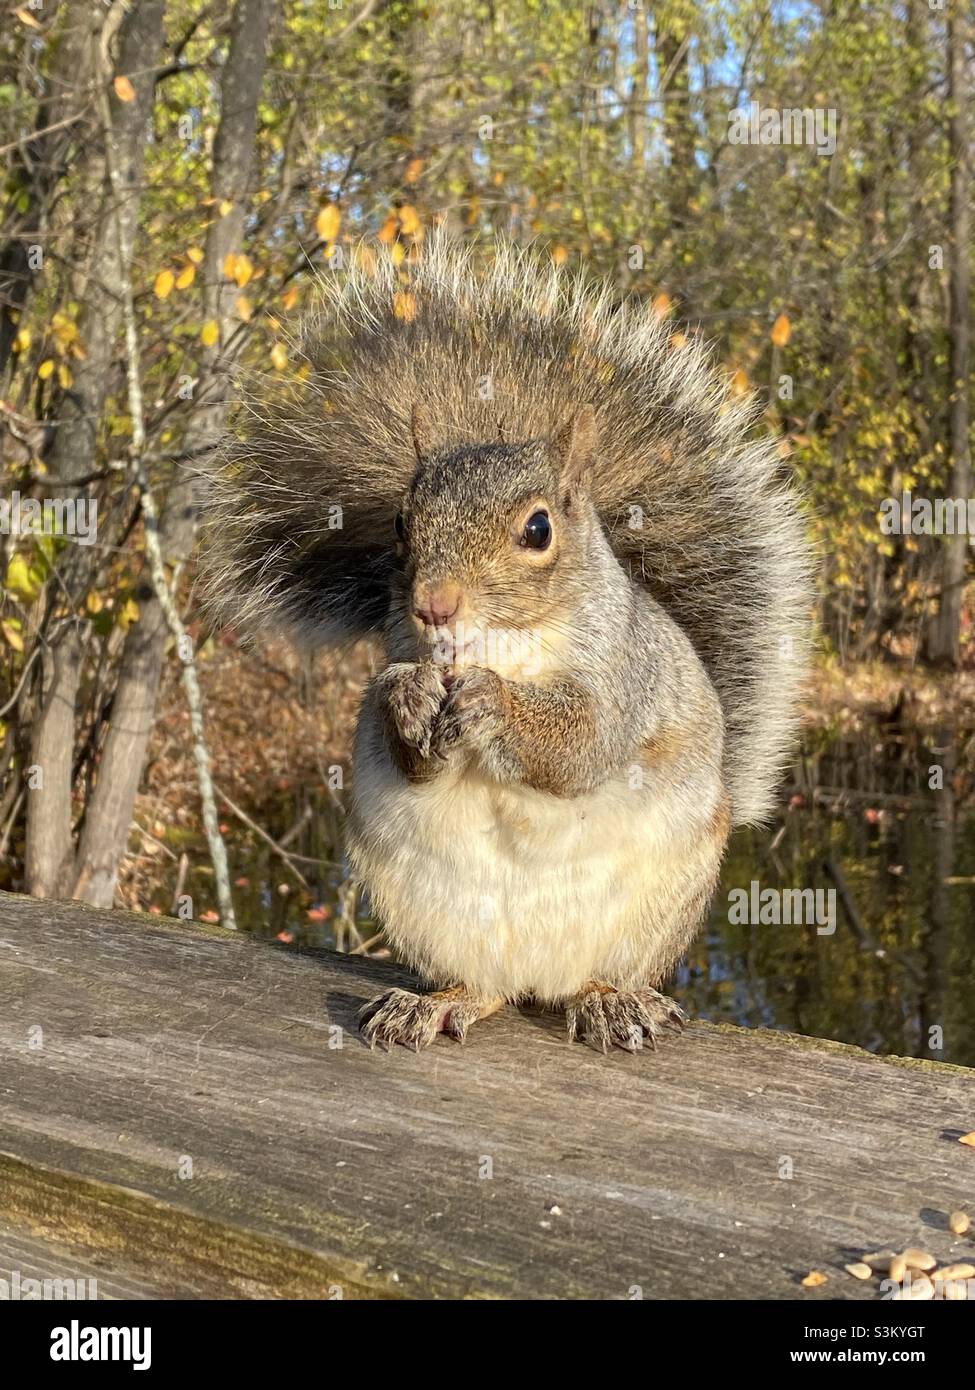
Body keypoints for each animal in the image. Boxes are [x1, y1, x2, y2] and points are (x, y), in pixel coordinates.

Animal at [204, 236, 811, 1053]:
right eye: (401, 525)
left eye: (538, 528)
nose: (433, 605)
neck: (504, 643)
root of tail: (536, 977)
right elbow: (407, 743)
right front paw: (410, 697)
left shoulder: (625, 678)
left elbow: (582, 746)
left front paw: (494, 702)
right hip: (421, 908)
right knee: (482, 988)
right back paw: (434, 1003)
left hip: (652, 918)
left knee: (596, 977)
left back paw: (609, 1000)